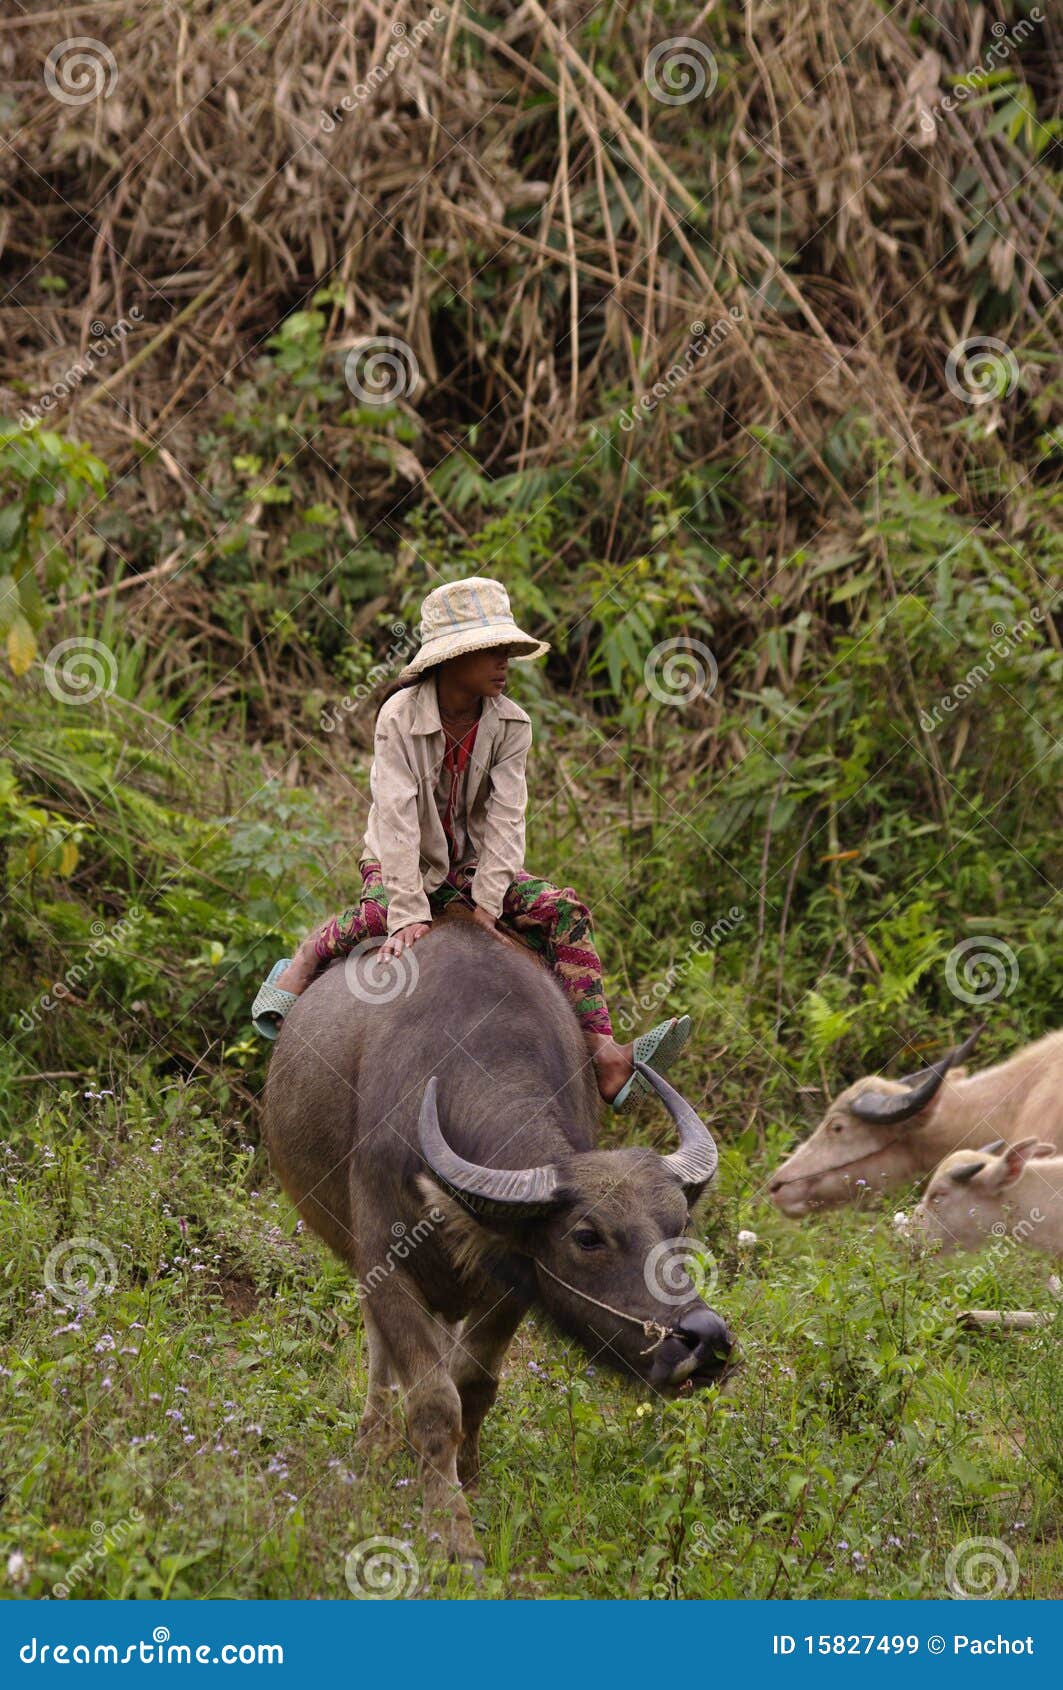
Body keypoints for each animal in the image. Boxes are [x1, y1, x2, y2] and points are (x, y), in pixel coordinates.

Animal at [262, 915, 733, 1568]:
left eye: (678, 1224)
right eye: (587, 1236)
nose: (706, 1338)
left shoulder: (511, 1284)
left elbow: (474, 1385)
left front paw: (471, 1478)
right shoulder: (385, 1262)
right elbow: (434, 1400)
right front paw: (452, 1533)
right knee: (382, 1349)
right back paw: (373, 1445)